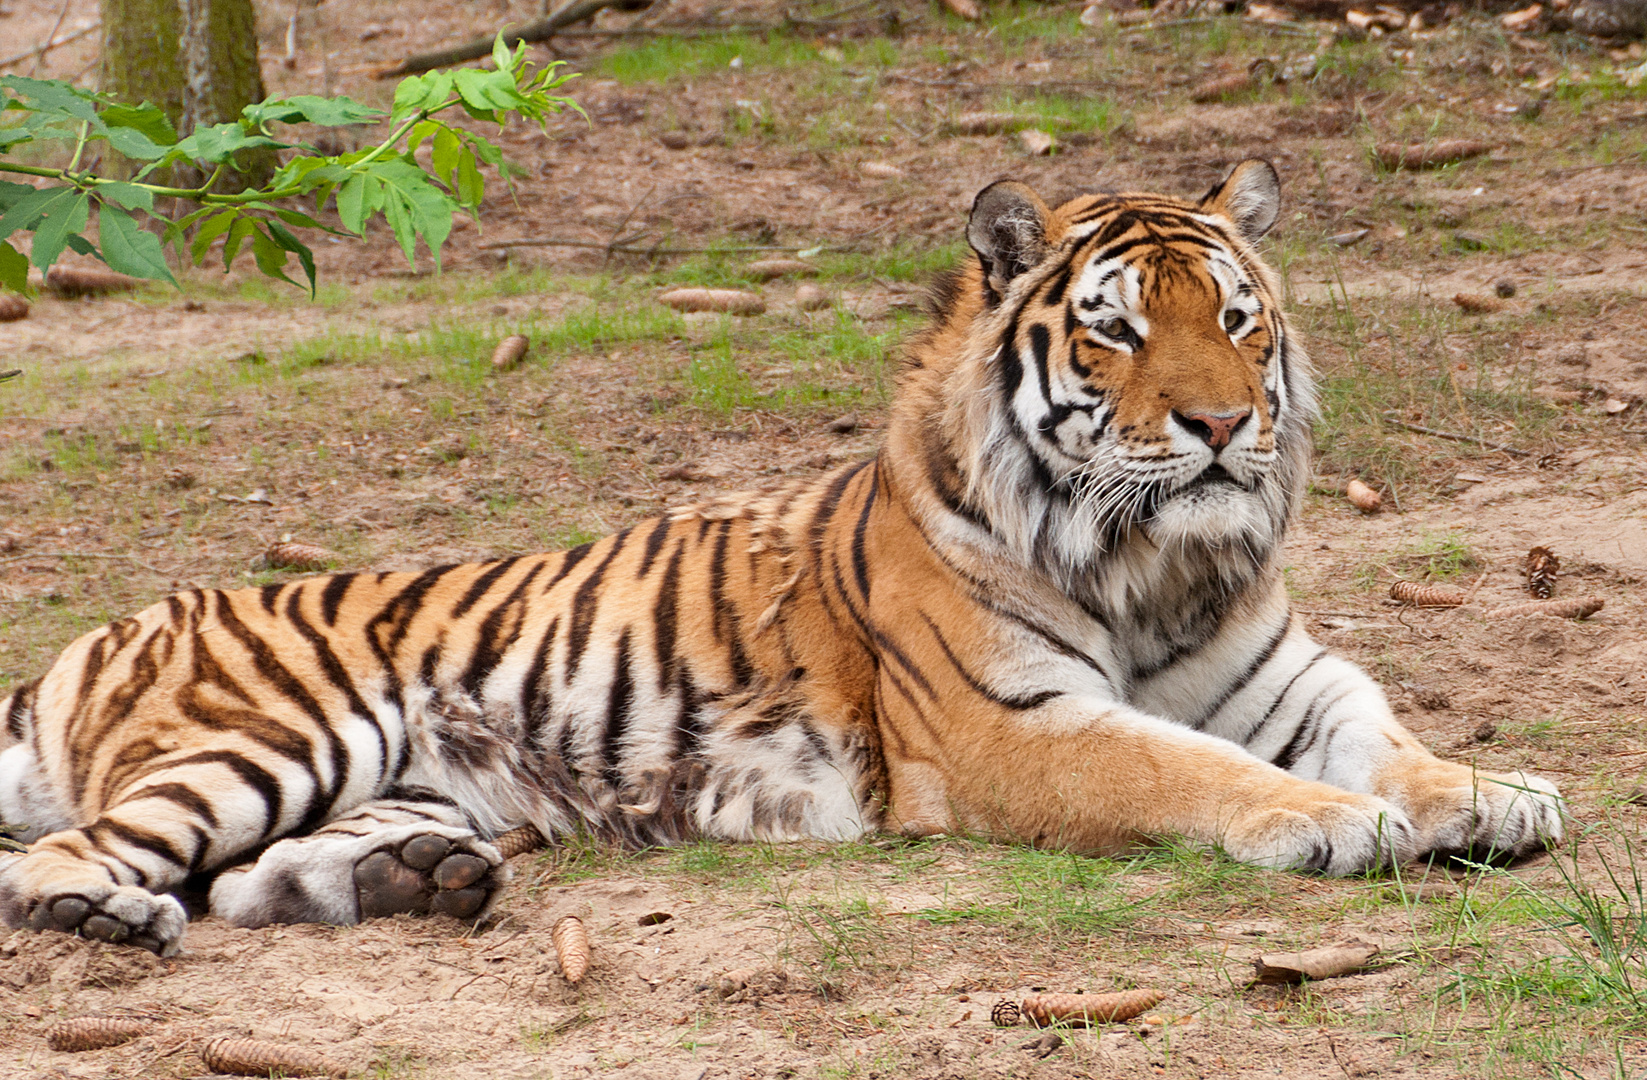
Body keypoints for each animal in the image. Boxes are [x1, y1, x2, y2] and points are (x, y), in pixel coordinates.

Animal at [0, 159, 1564, 957]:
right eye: (1117, 329)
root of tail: (100, 633)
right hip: (261, 742)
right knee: (79, 857)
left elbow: (1389, 735)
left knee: (246, 886)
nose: (1226, 424)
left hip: (392, 785)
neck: (1150, 566)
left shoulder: (1288, 682)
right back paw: (105, 911)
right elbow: (1186, 772)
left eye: (1236, 317)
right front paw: (1333, 824)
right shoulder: (1007, 733)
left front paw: (1489, 794)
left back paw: (422, 887)